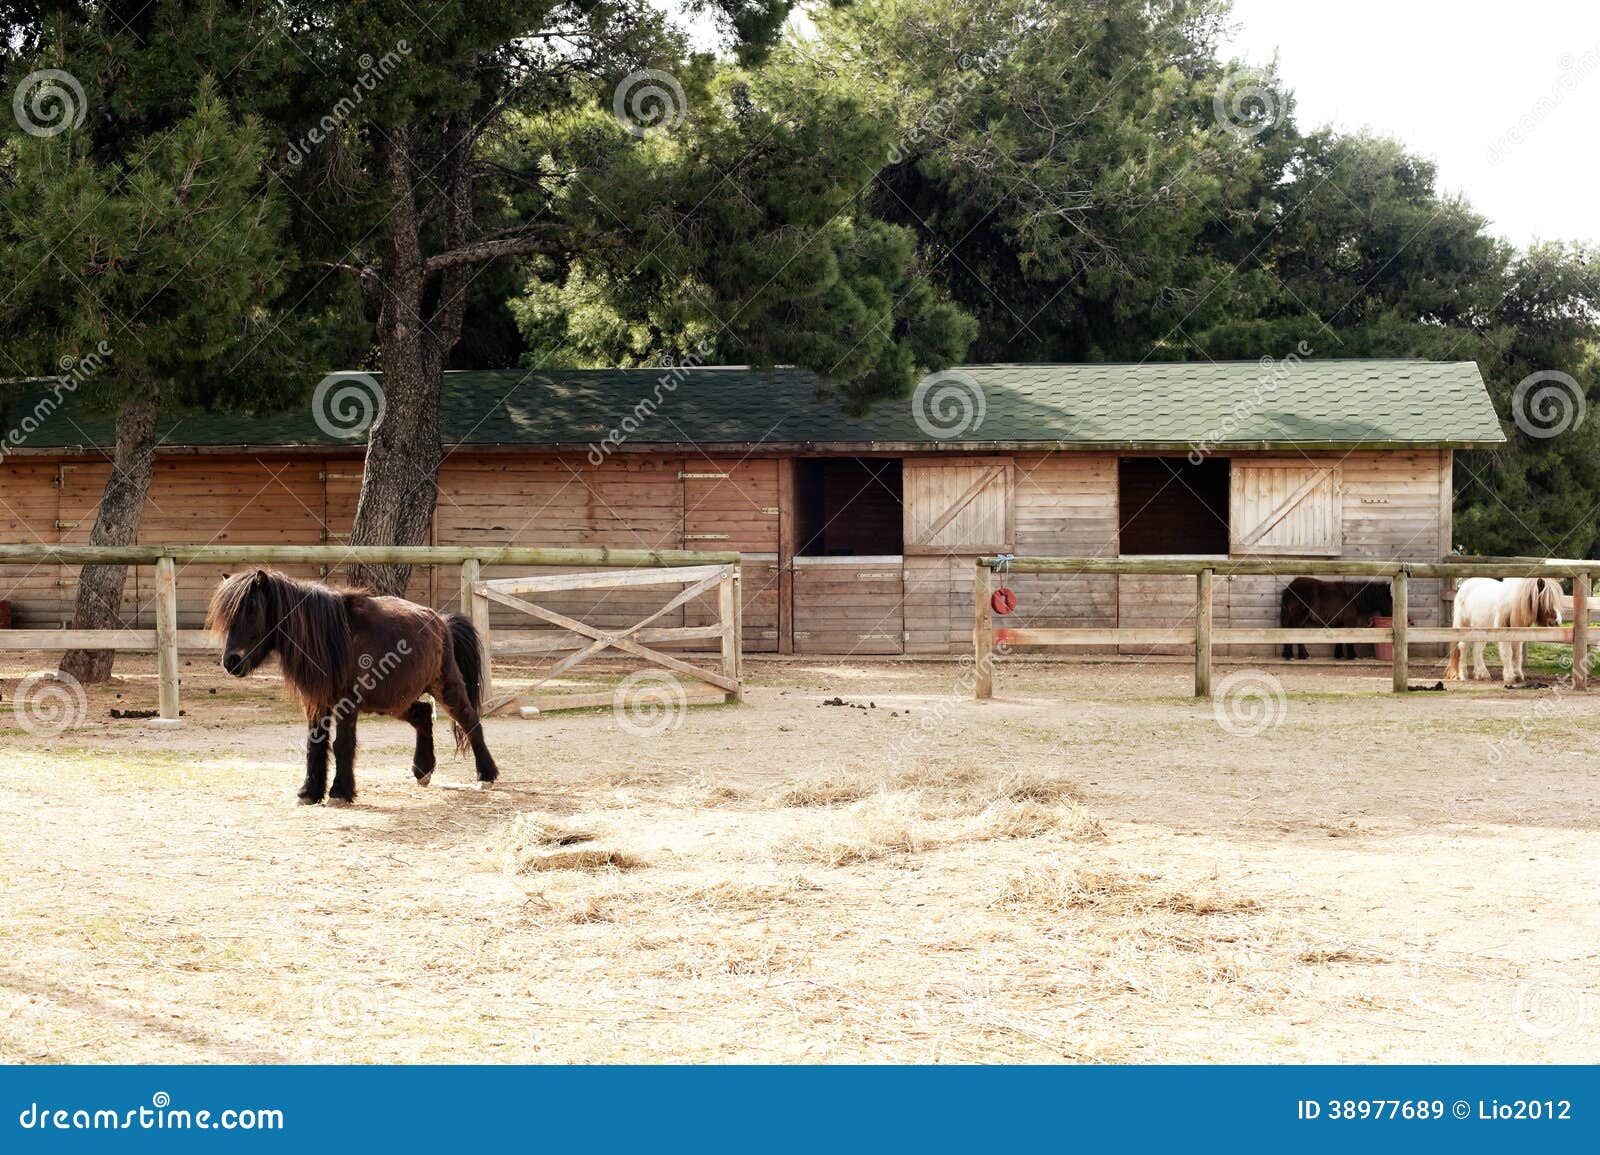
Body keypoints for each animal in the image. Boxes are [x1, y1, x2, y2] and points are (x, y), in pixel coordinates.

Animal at [206, 569, 499, 806]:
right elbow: (315, 743)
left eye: (252, 610)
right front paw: (309, 792)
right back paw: (423, 770)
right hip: (394, 701)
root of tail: (441, 621)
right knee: (423, 715)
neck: (333, 636)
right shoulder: (316, 702)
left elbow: (342, 744)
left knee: (470, 720)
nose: (231, 662)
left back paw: (486, 774)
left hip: (445, 686)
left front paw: (339, 792)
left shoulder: (347, 702)